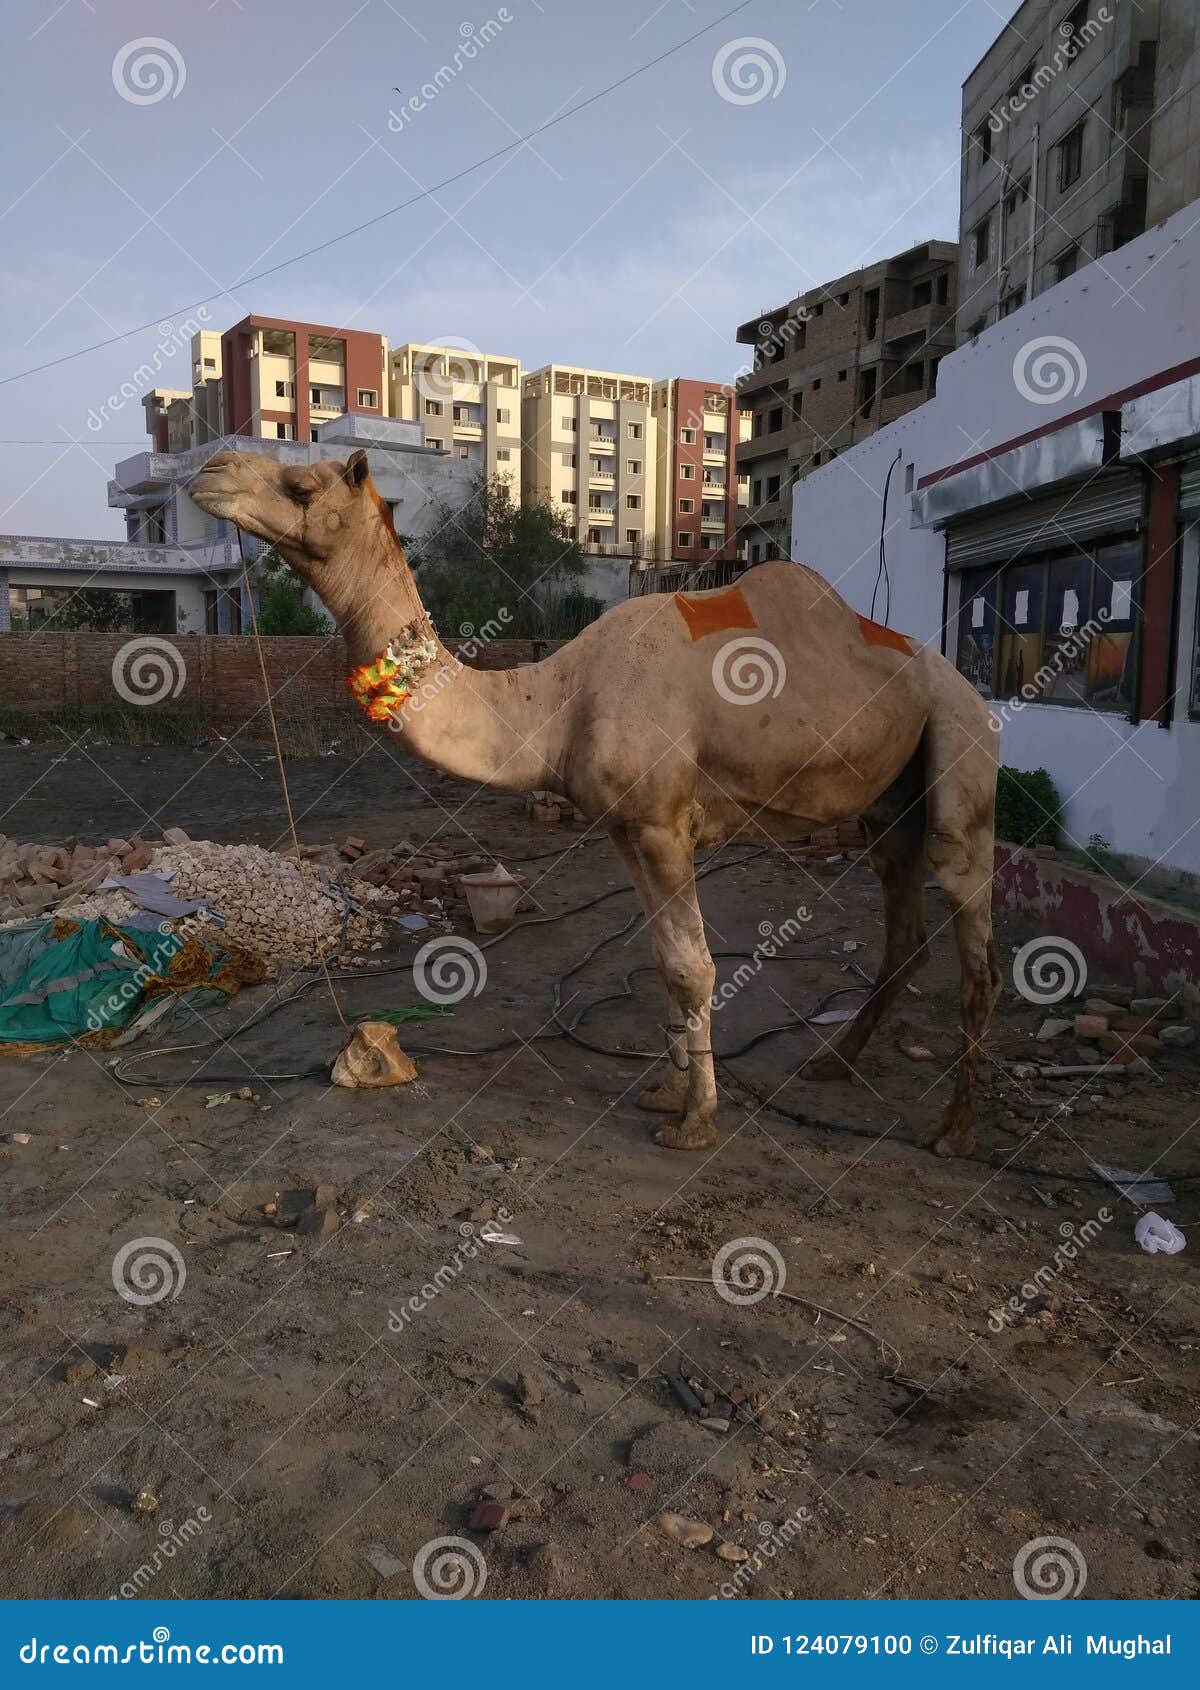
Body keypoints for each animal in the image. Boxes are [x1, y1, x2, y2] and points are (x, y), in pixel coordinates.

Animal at [191, 448, 1002, 1157]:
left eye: (300, 486)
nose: (211, 470)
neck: (554, 700)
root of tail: (965, 685)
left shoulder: (661, 823)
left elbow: (693, 967)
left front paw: (696, 1122)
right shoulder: (624, 828)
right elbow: (663, 957)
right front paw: (668, 1093)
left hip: (961, 746)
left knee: (975, 938)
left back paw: (957, 1131)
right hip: (890, 802)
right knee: (905, 928)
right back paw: (833, 1062)